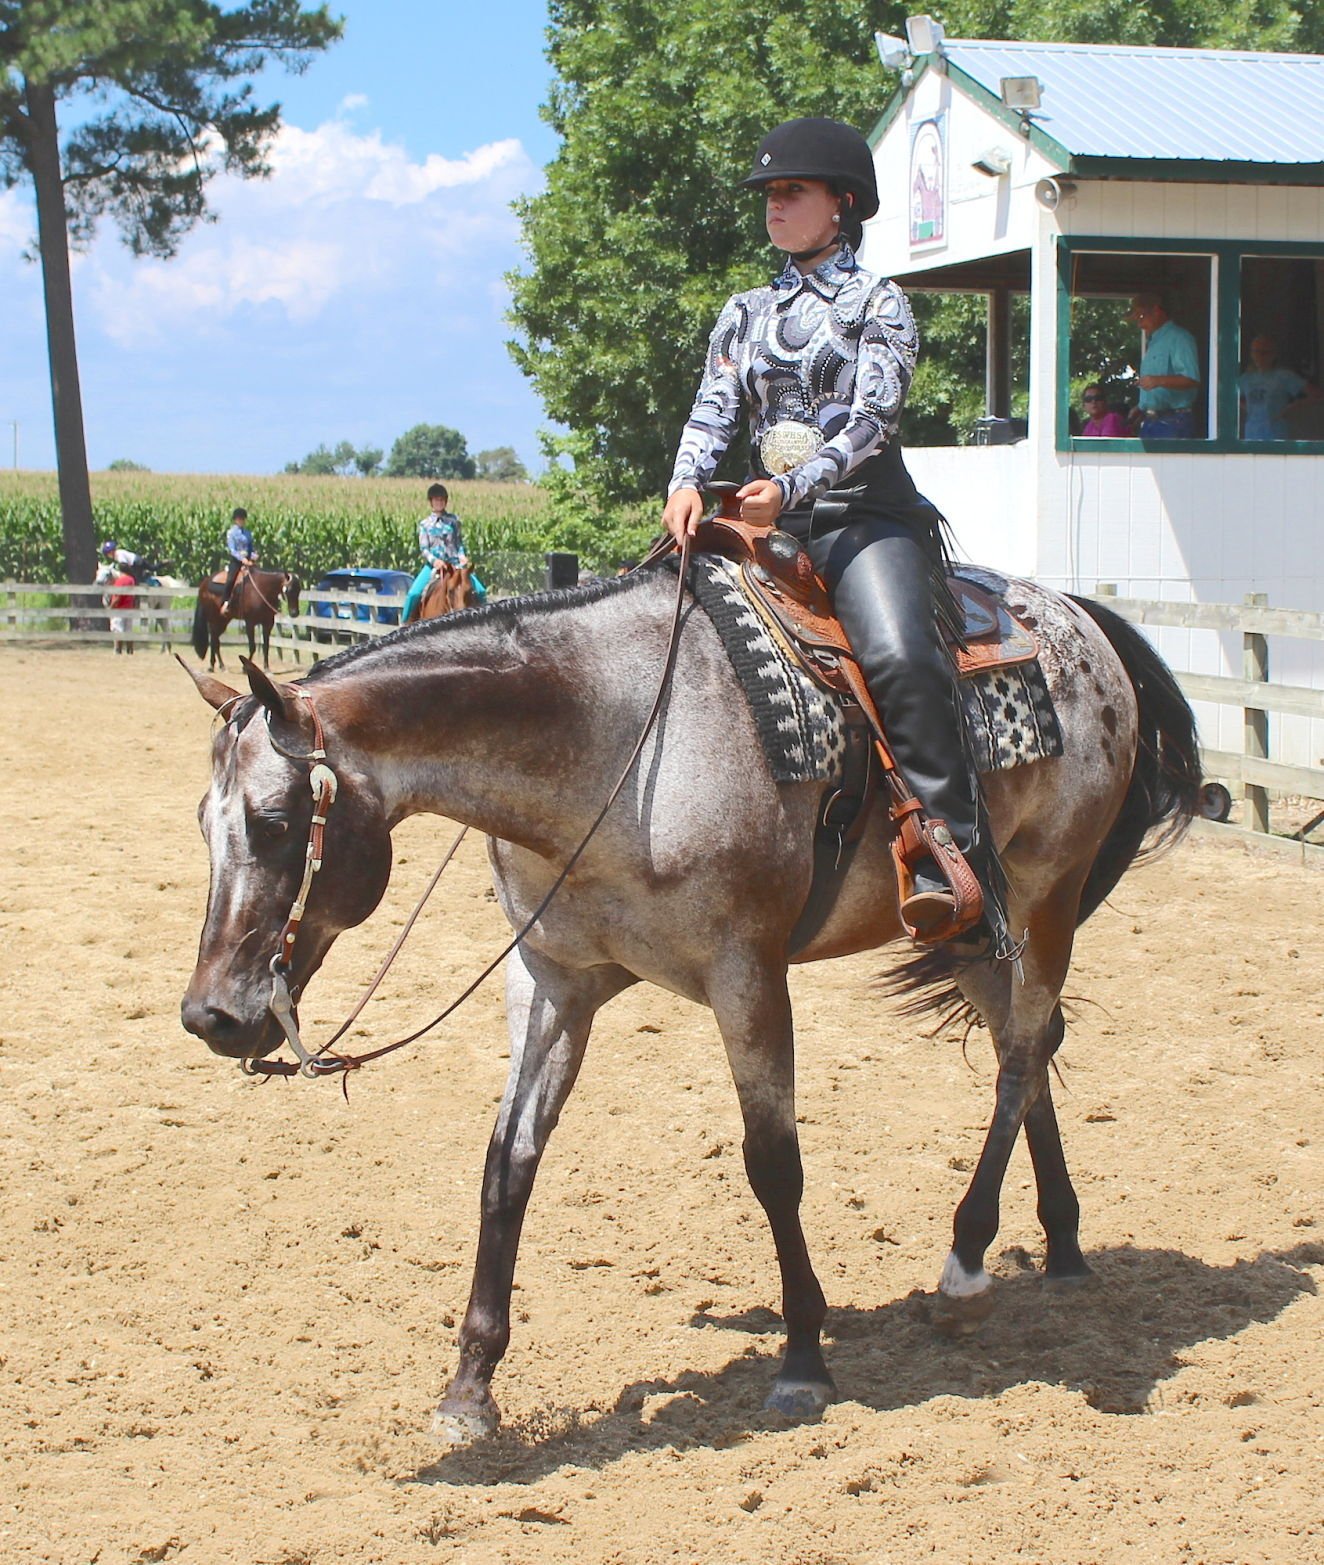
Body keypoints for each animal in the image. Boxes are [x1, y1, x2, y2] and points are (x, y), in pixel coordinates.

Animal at [179, 561, 1201, 1445]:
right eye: (203, 820)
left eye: (275, 822)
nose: (211, 1016)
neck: (613, 745)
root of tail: (1078, 618)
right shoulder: (551, 980)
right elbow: (508, 1163)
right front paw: (469, 1386)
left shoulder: (747, 975)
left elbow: (773, 1165)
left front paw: (802, 1359)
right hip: (982, 926)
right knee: (1023, 1046)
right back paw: (1061, 1244)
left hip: (1046, 893)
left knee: (1024, 1049)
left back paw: (965, 1262)